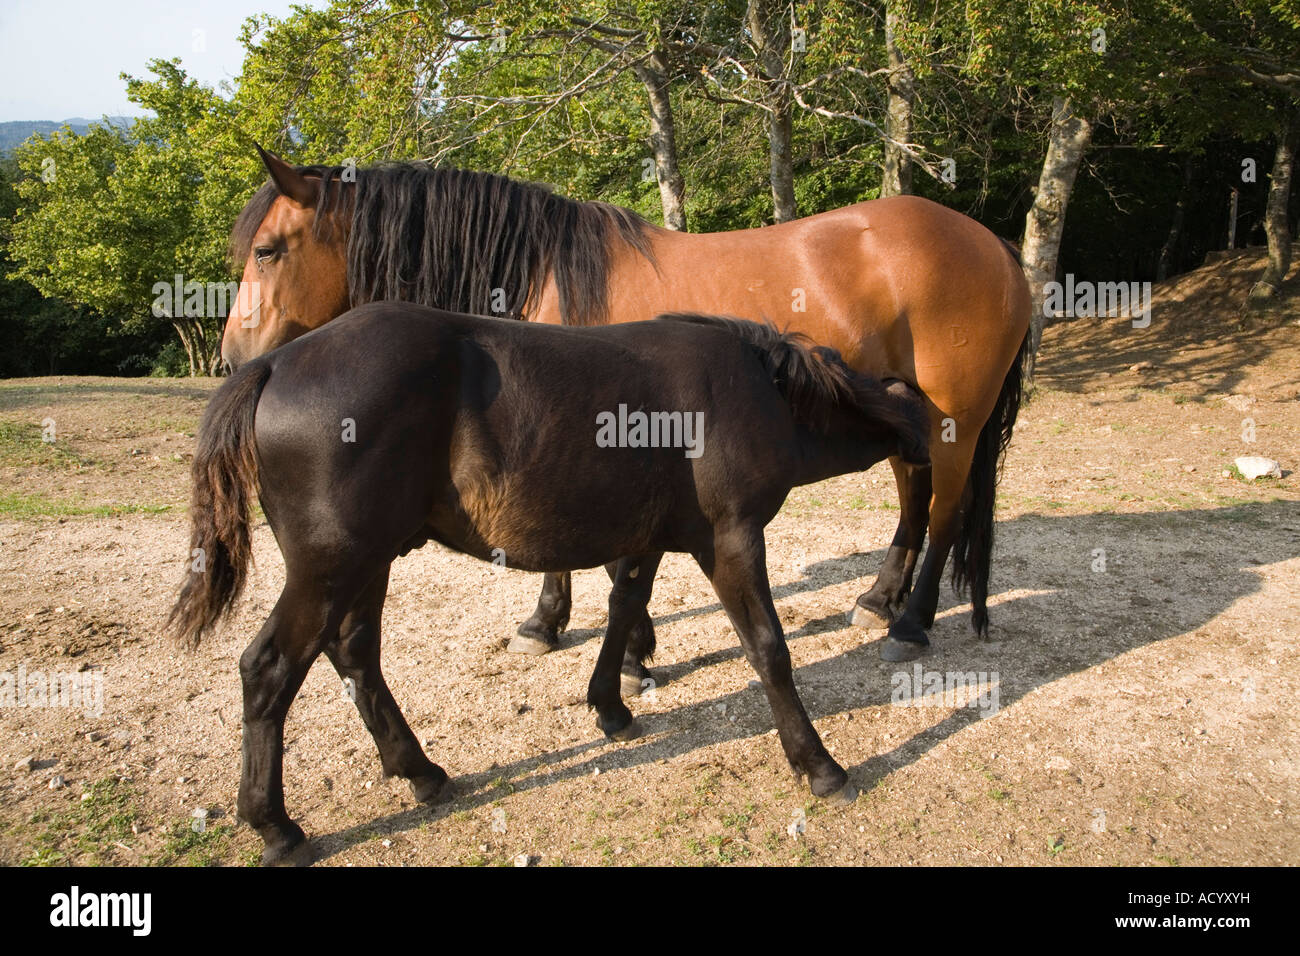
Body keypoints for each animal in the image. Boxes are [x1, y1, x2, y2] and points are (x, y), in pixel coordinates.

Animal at [169, 302, 931, 865]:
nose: (932, 485)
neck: (759, 390)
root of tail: (275, 361)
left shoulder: (648, 539)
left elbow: (625, 608)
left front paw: (611, 705)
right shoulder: (732, 538)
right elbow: (768, 648)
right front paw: (819, 763)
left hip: (367, 562)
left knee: (353, 652)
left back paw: (418, 770)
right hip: (334, 566)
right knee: (270, 668)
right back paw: (275, 825)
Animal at [220, 147, 1030, 668]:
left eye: (267, 250)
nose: (232, 358)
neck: (540, 273)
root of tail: (995, 248)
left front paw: (610, 642)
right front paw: (556, 624)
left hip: (955, 422)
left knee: (945, 512)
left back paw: (912, 625)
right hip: (902, 416)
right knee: (916, 502)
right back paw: (877, 600)